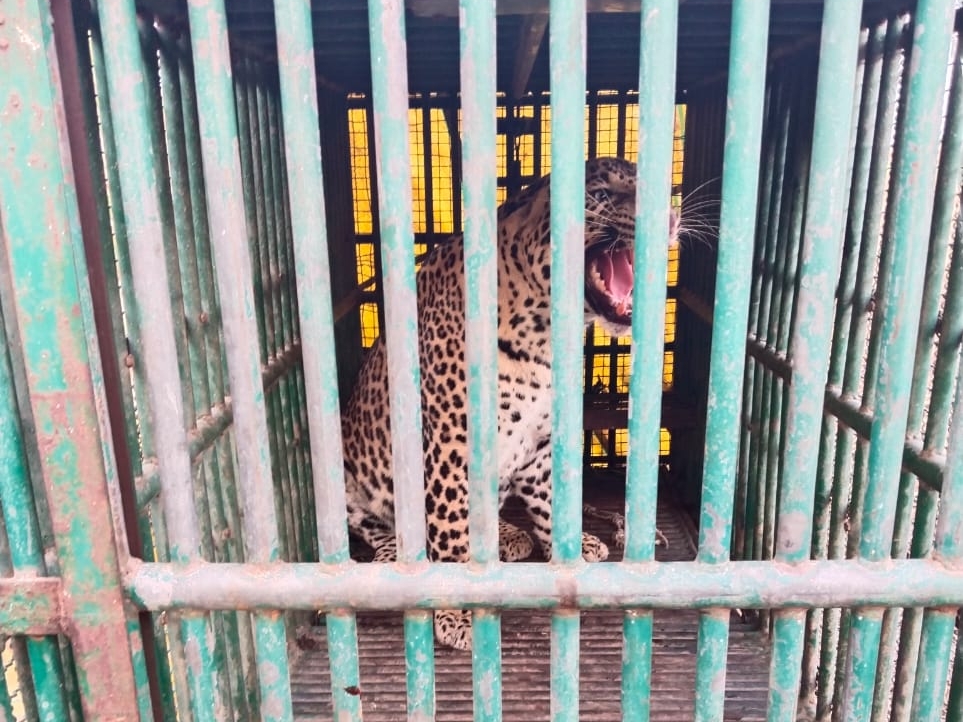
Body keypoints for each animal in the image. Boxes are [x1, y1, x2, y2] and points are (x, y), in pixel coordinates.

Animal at [341, 156, 680, 650]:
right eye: (600, 194)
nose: (670, 218)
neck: (542, 334)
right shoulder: (451, 447)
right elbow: (450, 535)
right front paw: (457, 614)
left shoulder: (538, 441)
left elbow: (550, 502)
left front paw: (571, 551)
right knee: (373, 525)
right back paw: (395, 556)